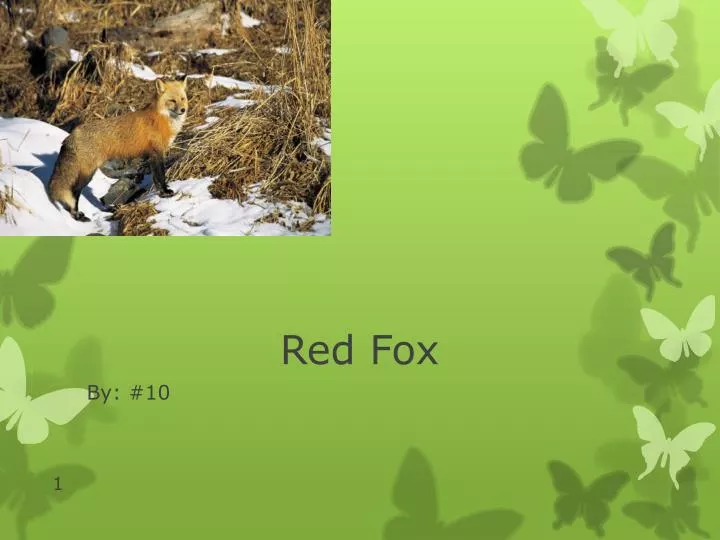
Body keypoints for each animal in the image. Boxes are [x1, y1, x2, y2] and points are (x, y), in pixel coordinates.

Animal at [47, 76, 189, 222]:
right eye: (172, 100)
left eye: (182, 98)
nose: (183, 110)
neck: (162, 119)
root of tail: (72, 134)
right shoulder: (157, 153)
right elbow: (161, 176)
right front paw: (166, 192)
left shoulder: (152, 156)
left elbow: (156, 178)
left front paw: (160, 192)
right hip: (87, 174)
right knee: (74, 192)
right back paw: (77, 216)